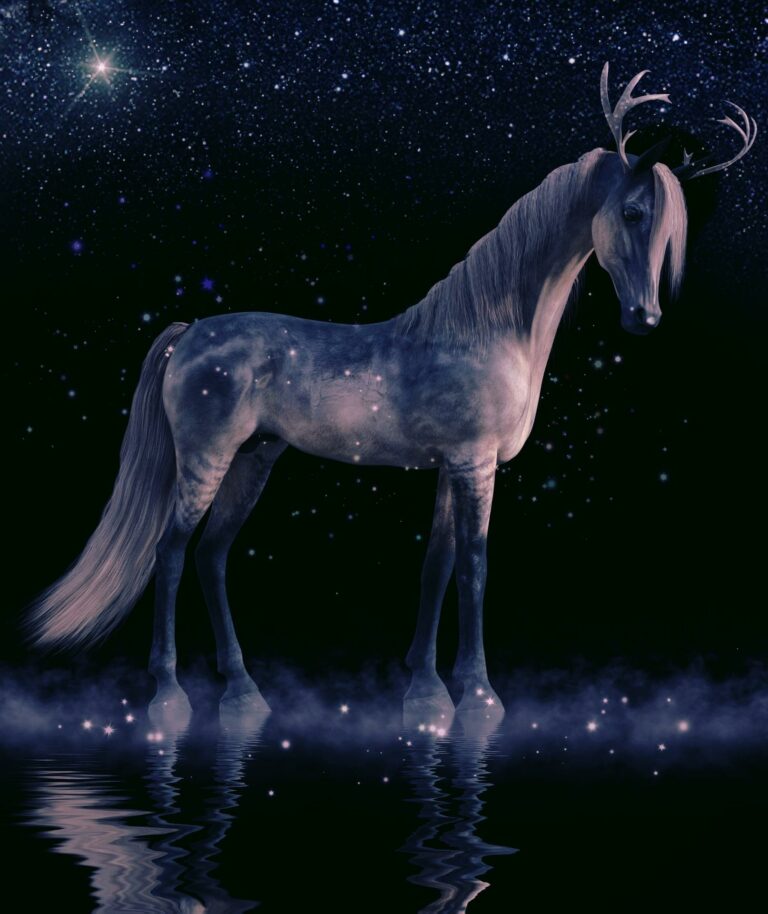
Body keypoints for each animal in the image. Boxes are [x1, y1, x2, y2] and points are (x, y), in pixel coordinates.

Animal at [27, 64, 755, 726]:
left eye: (668, 235)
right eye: (631, 212)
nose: (645, 319)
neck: (485, 329)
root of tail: (192, 333)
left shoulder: (452, 467)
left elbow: (436, 565)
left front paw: (425, 690)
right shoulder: (475, 465)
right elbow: (475, 566)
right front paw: (480, 697)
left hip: (254, 458)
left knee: (211, 556)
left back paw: (244, 694)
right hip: (208, 459)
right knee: (172, 553)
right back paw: (168, 696)